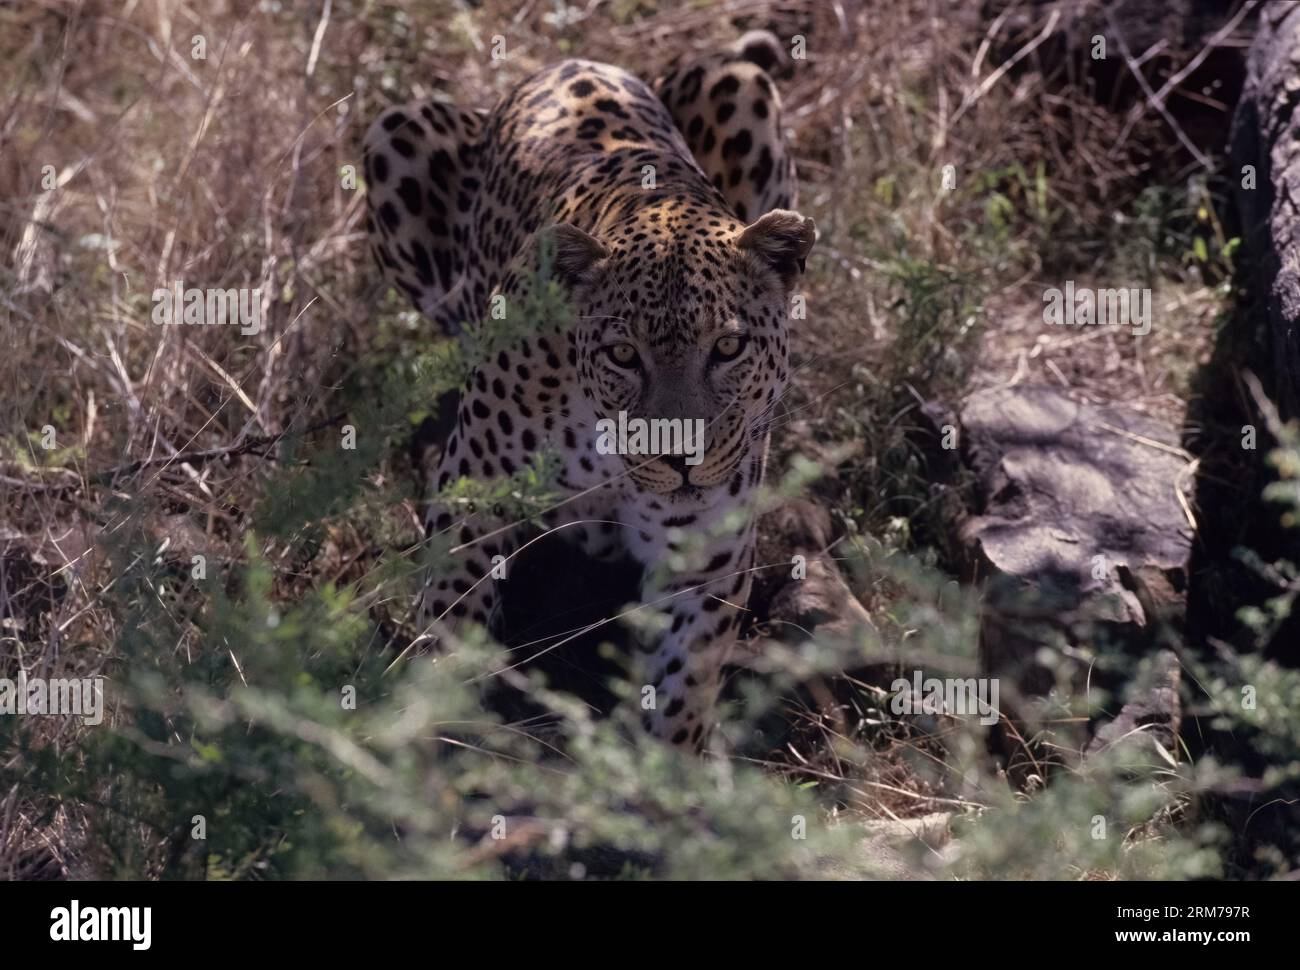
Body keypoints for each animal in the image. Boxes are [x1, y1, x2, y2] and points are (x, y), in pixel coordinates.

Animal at [362, 35, 813, 749]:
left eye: (728, 349)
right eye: (623, 355)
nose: (680, 457)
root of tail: (567, 62)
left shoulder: (703, 555)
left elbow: (683, 691)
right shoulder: (473, 492)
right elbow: (450, 625)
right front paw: (442, 738)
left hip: (738, 79)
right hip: (396, 133)